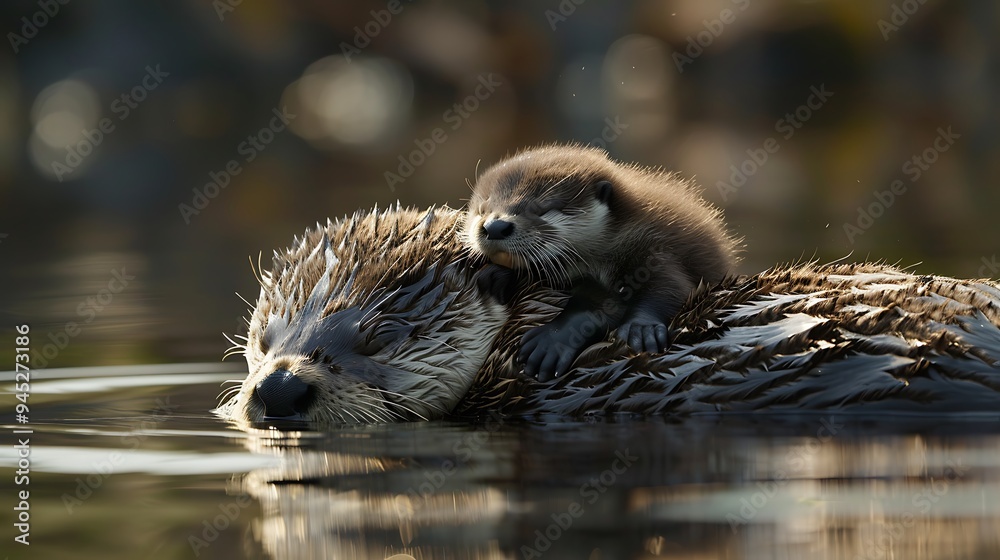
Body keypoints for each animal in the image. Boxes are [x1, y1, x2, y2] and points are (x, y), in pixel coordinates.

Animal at [463, 144, 739, 380]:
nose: (495, 227)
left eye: (542, 208)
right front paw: (497, 274)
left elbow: (671, 287)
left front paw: (639, 328)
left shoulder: (653, 246)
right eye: (483, 209)